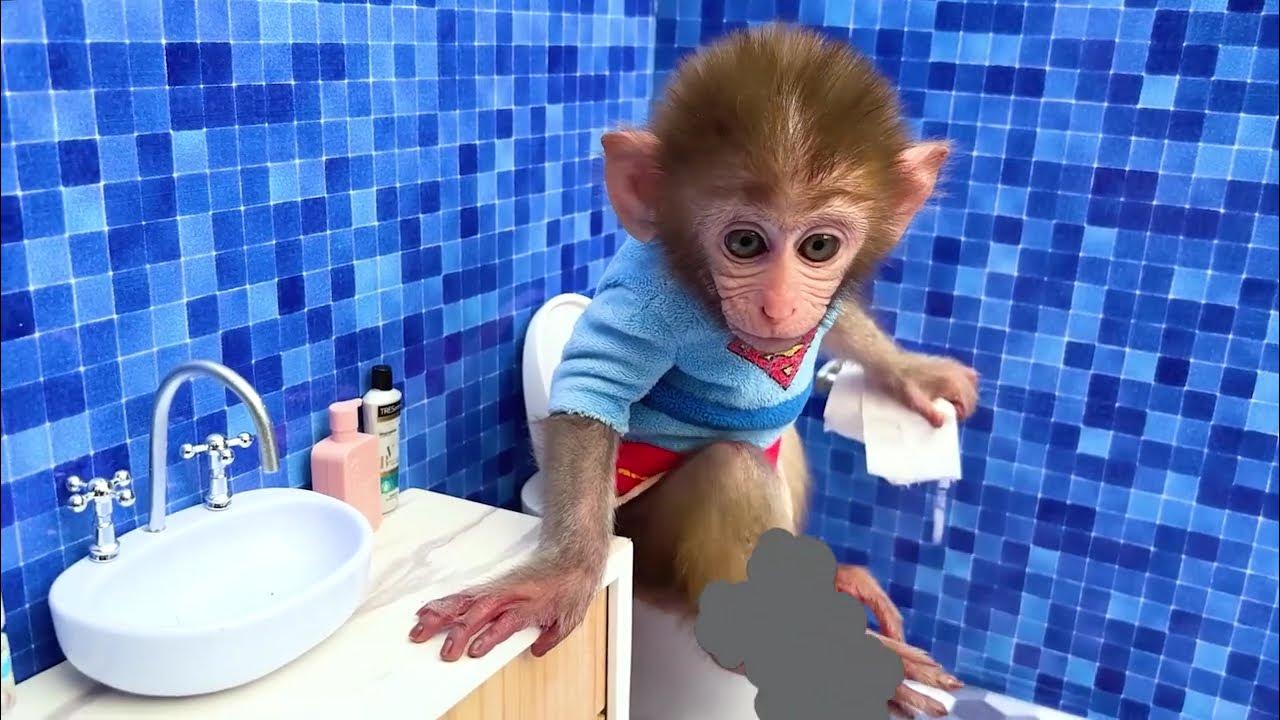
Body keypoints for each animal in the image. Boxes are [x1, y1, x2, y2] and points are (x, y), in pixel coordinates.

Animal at [410, 25, 979, 718]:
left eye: (819, 247)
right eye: (744, 243)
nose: (780, 305)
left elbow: (838, 321)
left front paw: (914, 373)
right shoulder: (649, 299)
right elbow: (595, 384)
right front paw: (563, 574)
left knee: (778, 443)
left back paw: (837, 581)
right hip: (647, 549)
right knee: (733, 469)